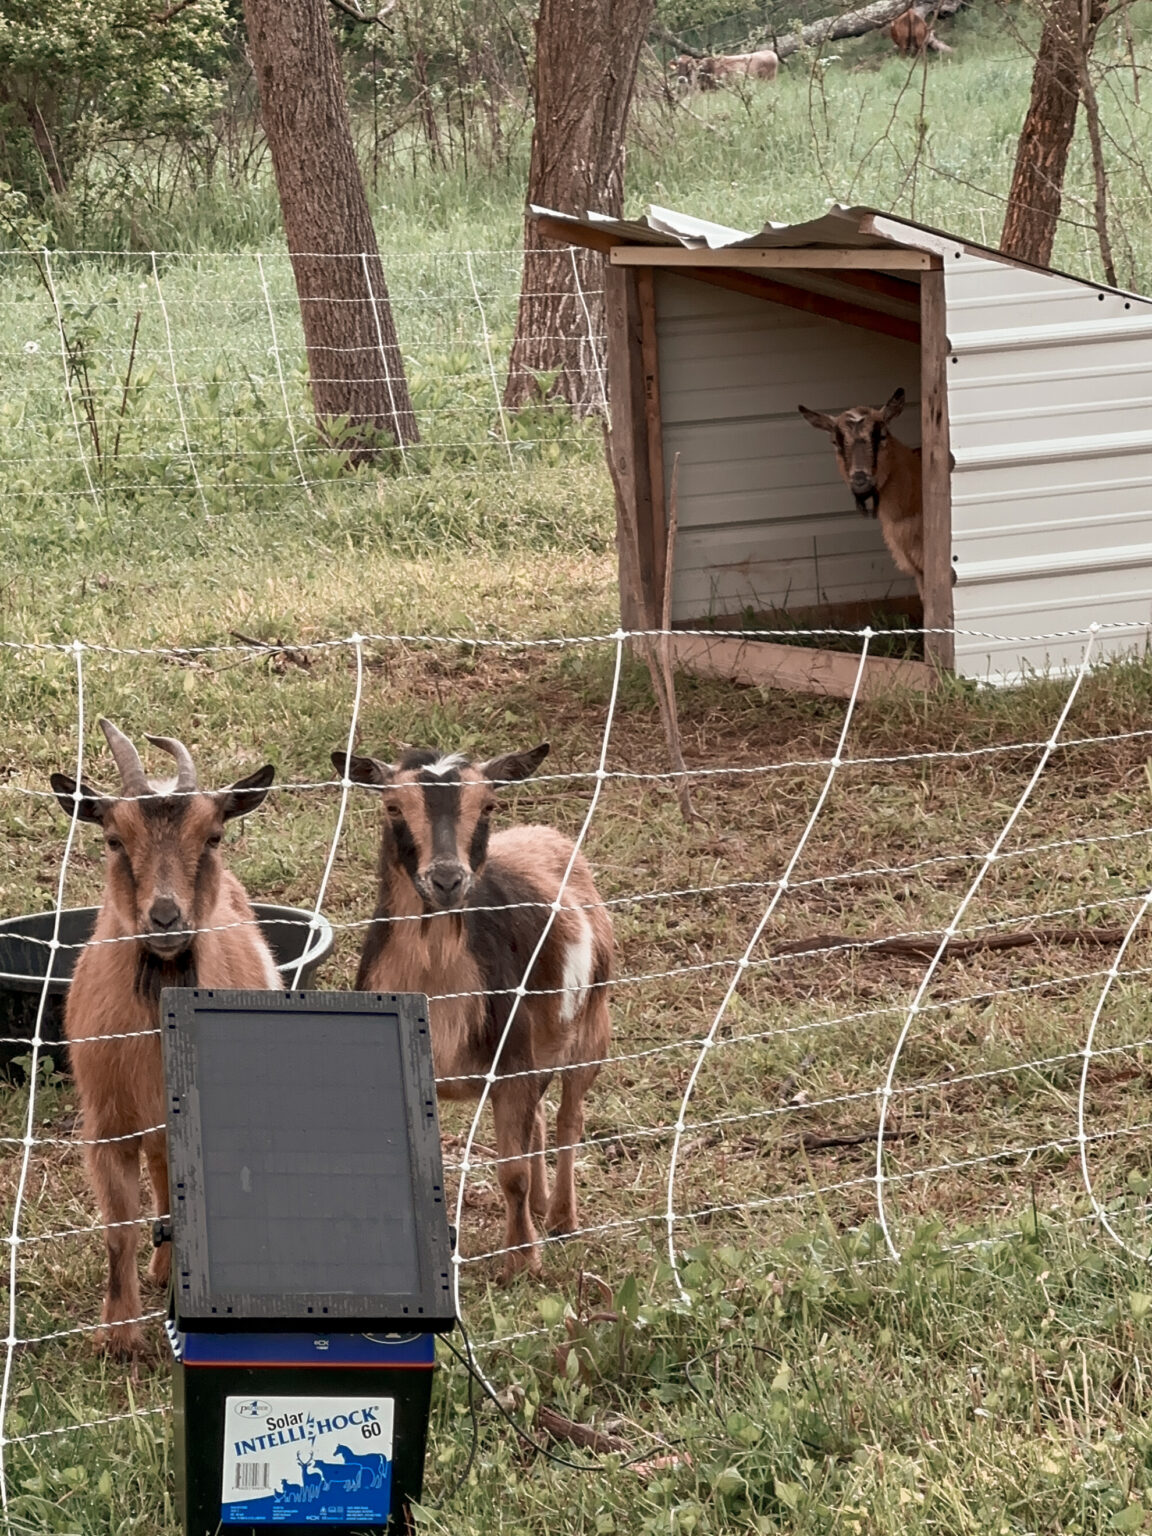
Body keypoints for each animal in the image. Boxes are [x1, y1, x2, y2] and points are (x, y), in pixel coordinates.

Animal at [50, 719, 281, 1357]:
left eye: (214, 835)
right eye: (112, 839)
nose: (166, 918)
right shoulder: (107, 1123)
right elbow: (118, 1230)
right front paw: (118, 1338)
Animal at [333, 741, 613, 1281]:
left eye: (488, 805)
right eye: (392, 807)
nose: (446, 879)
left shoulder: (510, 1061)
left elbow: (512, 1171)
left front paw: (521, 1259)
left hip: (593, 1022)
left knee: (569, 1116)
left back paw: (562, 1219)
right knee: (540, 1119)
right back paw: (544, 1208)